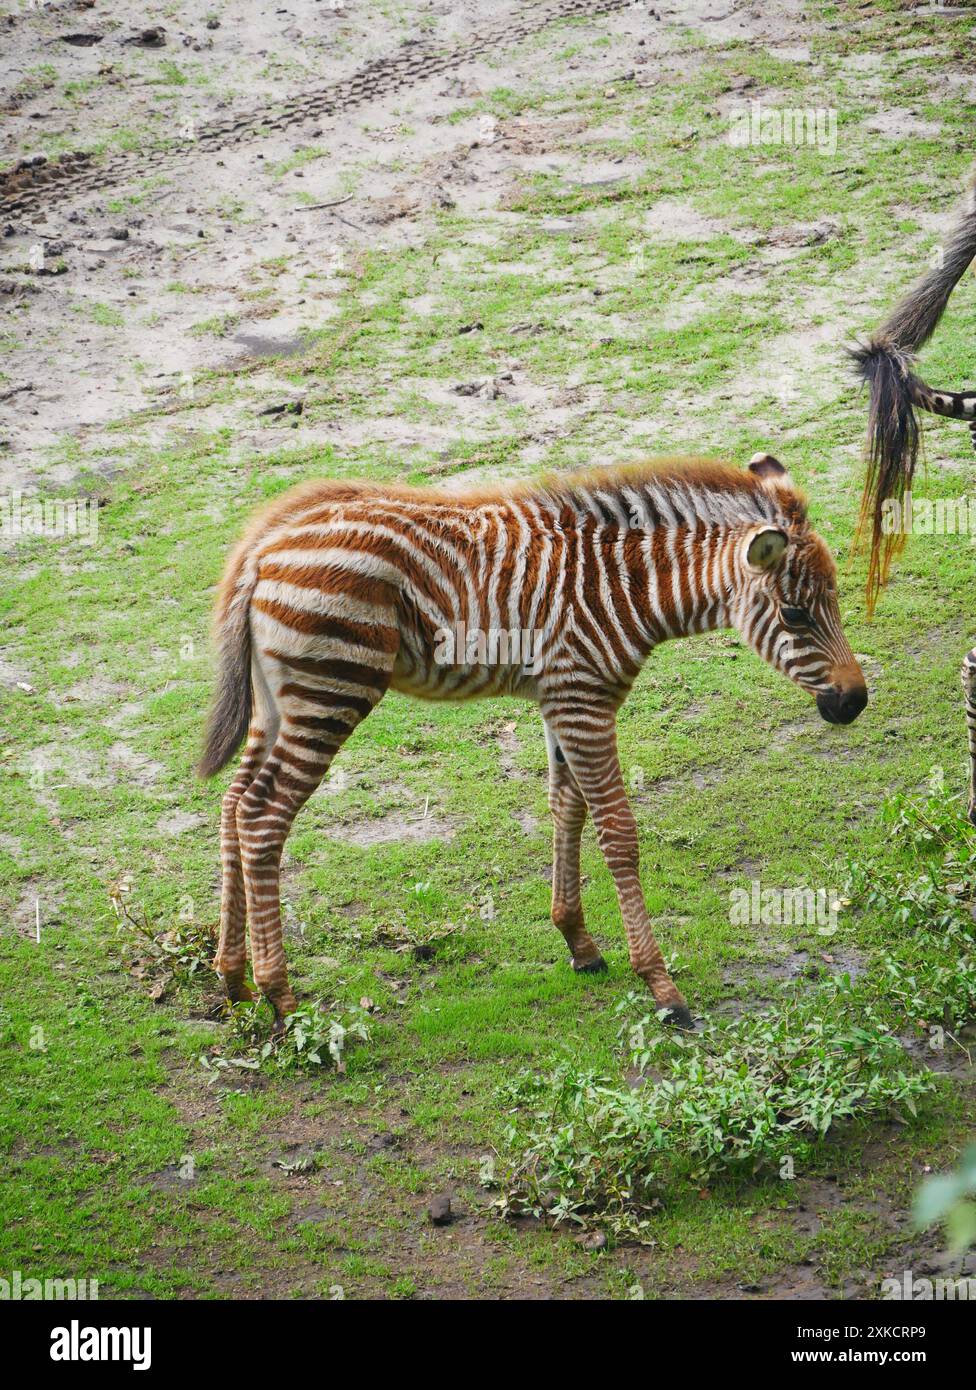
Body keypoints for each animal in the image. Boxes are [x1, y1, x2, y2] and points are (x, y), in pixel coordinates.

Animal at [199, 453, 867, 1031]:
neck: (625, 587)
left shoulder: (561, 700)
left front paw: (579, 941)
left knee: (233, 805)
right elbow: (618, 833)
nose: (855, 702)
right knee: (263, 818)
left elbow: (566, 807)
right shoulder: (582, 700)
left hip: (279, 700)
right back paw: (281, 996)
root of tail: (264, 541)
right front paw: (661, 986)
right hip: (329, 690)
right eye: (797, 614)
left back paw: (233, 979)